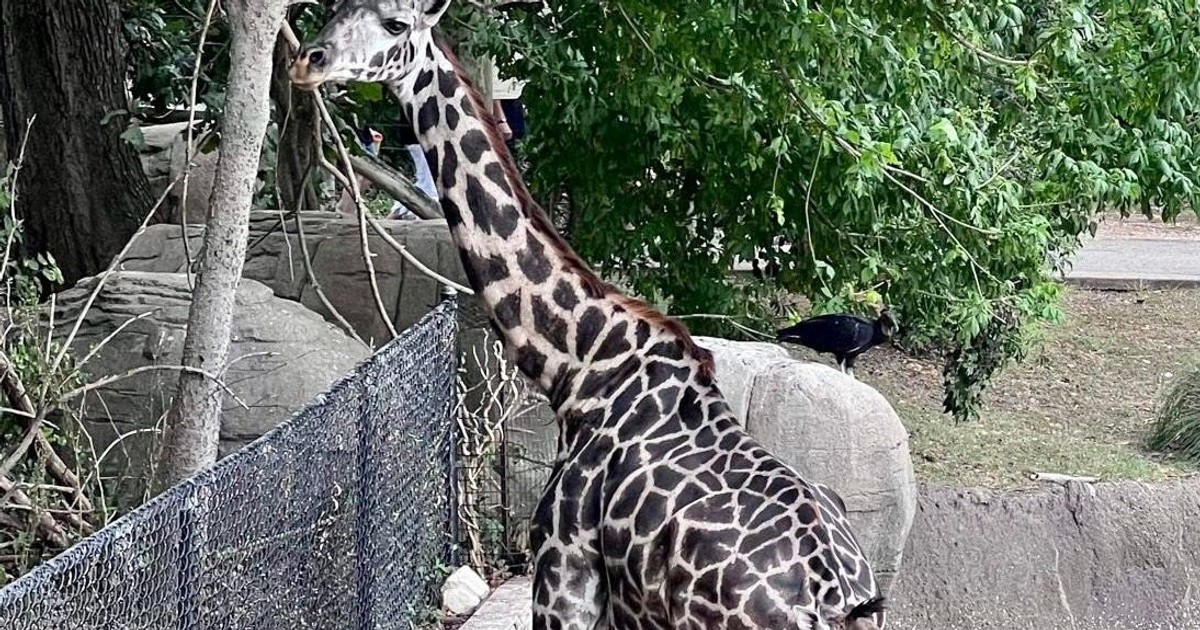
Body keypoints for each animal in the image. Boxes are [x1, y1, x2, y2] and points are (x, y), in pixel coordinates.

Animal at [290, 2, 885, 628]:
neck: (579, 368)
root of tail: (832, 599)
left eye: (395, 24)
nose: (309, 61)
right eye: (338, 8)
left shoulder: (564, 574)